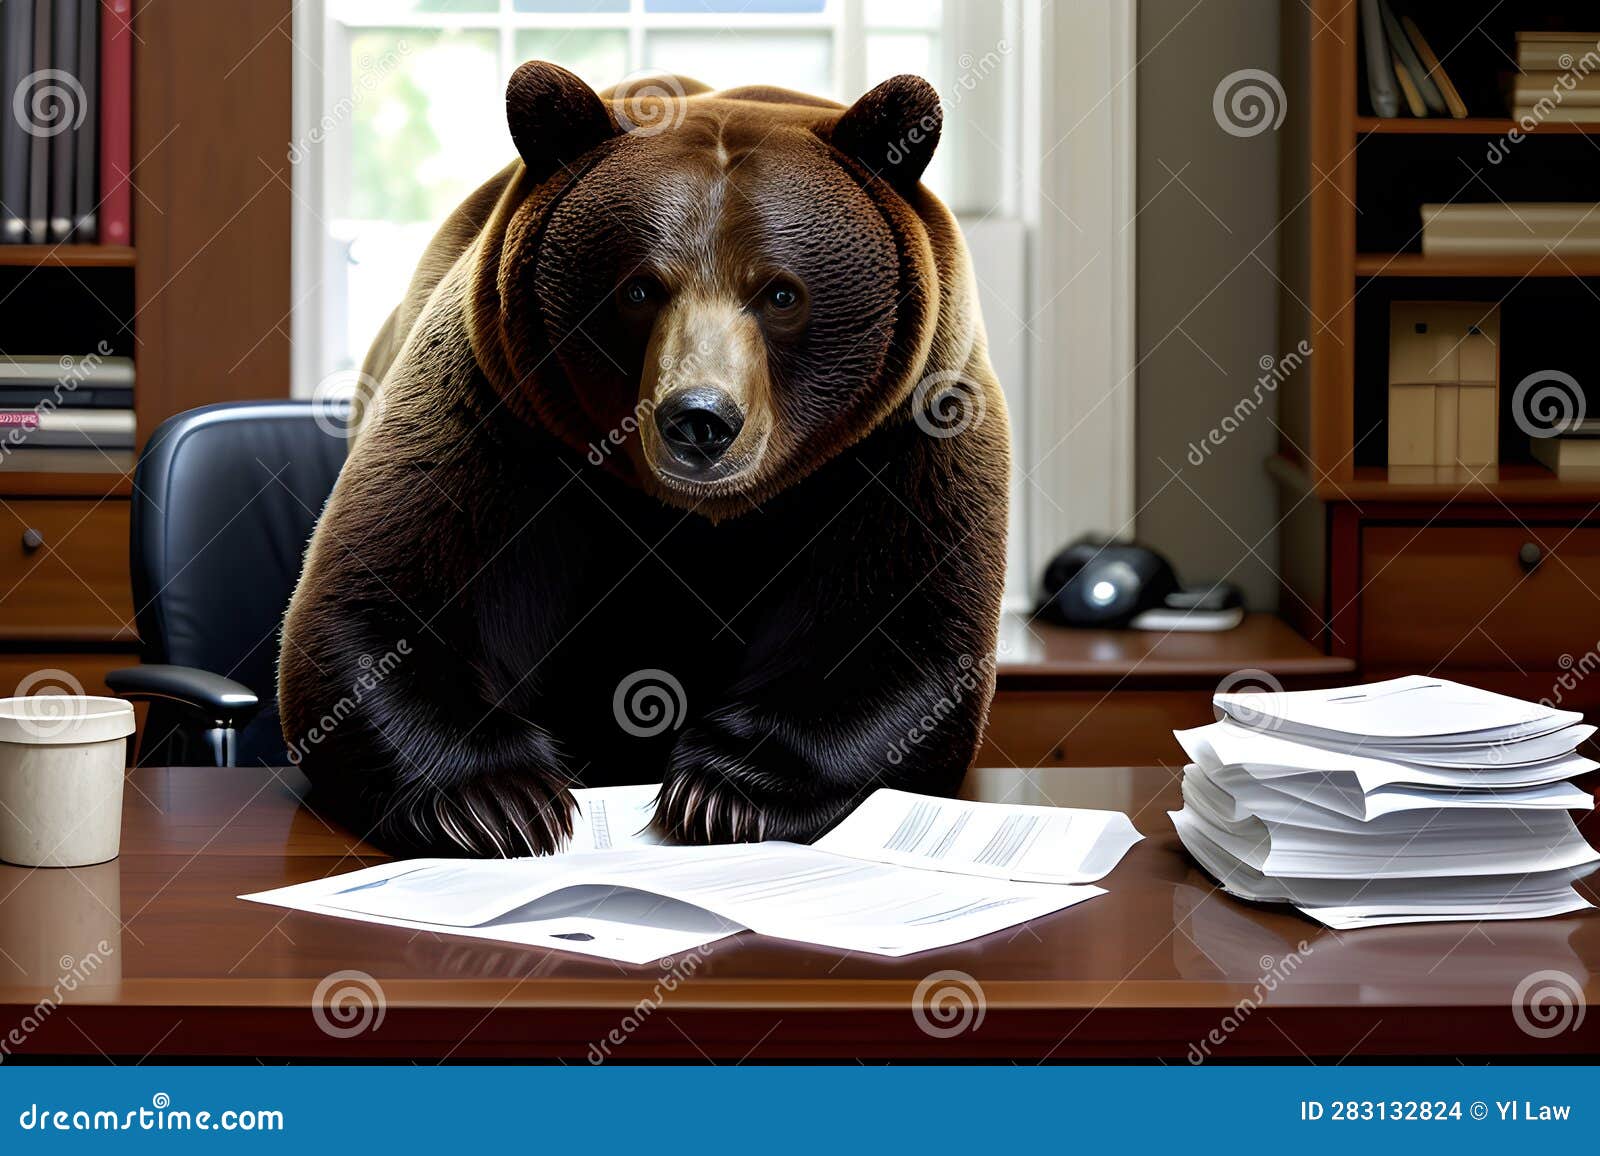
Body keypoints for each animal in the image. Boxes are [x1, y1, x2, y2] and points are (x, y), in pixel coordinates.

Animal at [278, 62, 1010, 857]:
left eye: (781, 292)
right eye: (638, 288)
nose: (700, 419)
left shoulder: (902, 442)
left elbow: (901, 636)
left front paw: (720, 791)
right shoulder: (496, 412)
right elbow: (377, 609)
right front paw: (503, 799)